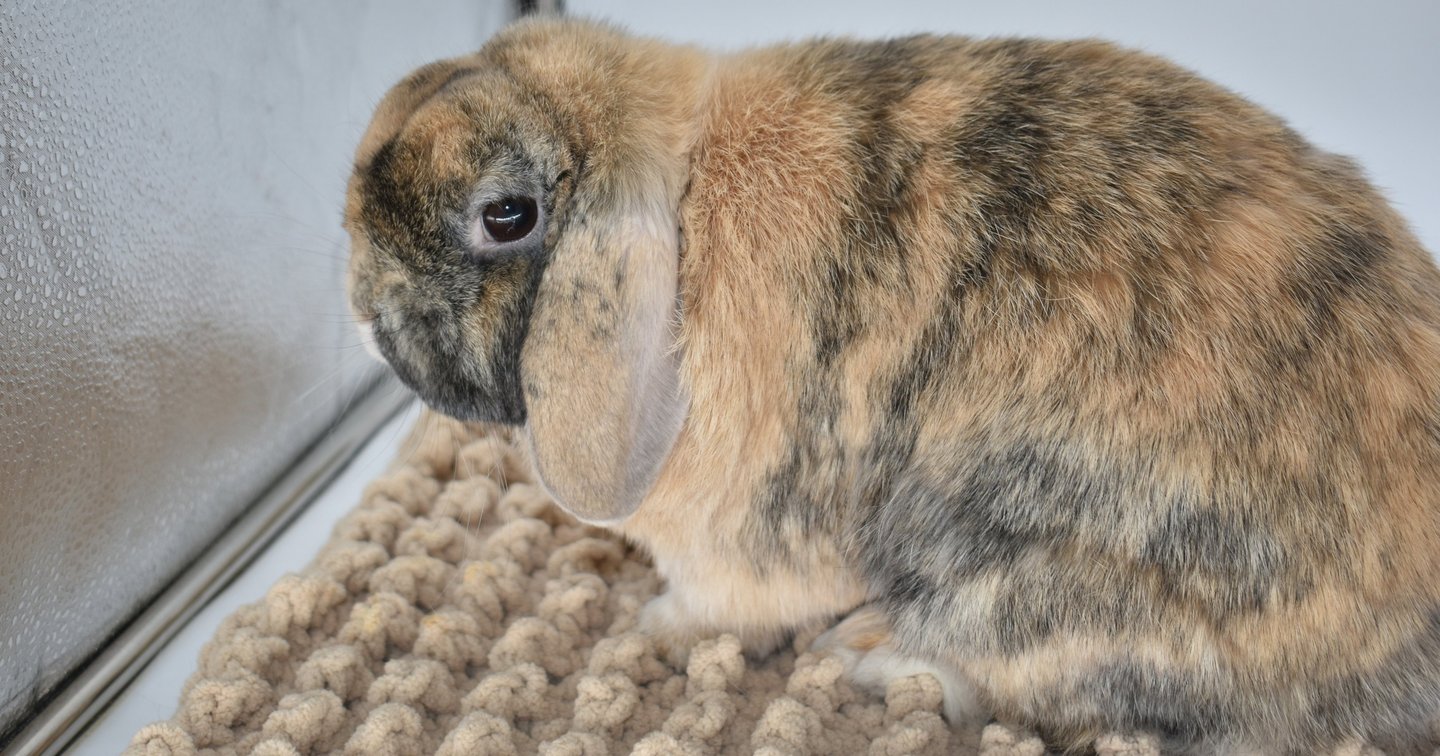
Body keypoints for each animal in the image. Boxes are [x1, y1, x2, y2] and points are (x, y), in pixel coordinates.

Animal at [343, 16, 1440, 754]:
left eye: (507, 215)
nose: (360, 312)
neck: (687, 206)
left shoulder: (745, 544)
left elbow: (720, 600)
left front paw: (648, 627)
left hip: (1029, 584)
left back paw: (867, 652)